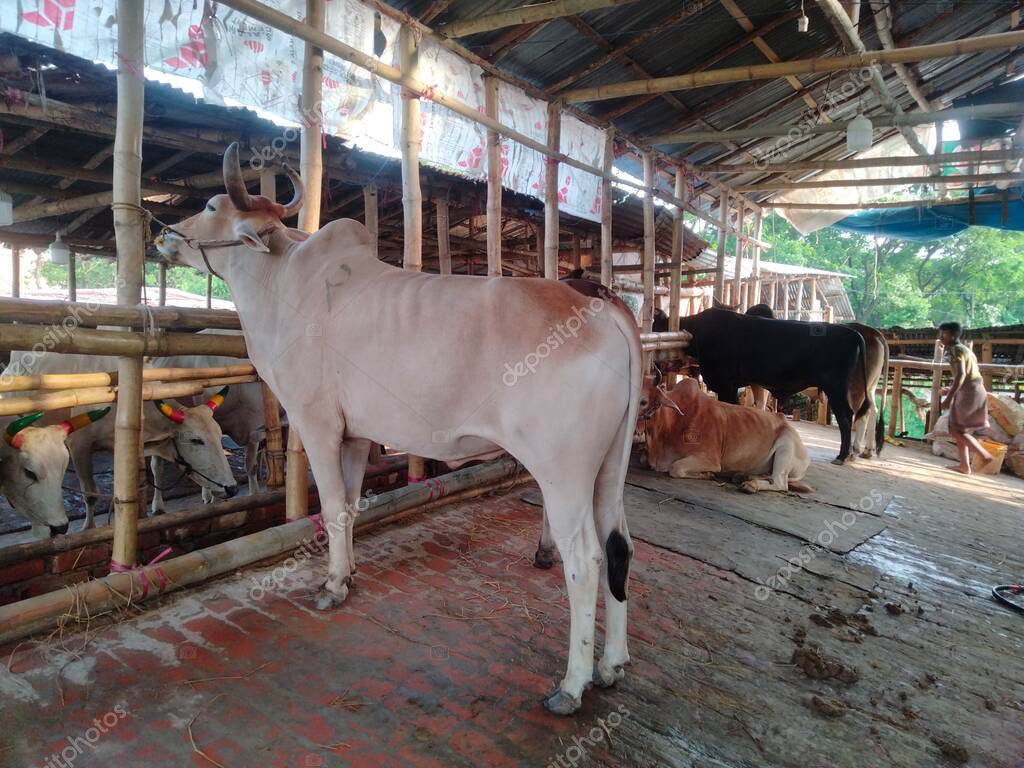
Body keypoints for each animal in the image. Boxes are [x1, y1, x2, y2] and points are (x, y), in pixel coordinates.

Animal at [5, 351, 239, 529]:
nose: (233, 488)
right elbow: (90, 494)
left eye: (220, 436)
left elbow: (155, 471)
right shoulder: (79, 446)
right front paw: (88, 528)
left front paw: (158, 507)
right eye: (196, 440)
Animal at [152, 144, 641, 715]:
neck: (281, 282)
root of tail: (603, 308)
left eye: (211, 206)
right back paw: (612, 664)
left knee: (586, 559)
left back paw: (572, 683)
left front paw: (332, 584)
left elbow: (331, 507)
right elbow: (350, 506)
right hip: (608, 468)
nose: (163, 233)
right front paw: (348, 573)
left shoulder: (317, 424)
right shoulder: (357, 434)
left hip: (563, 472)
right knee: (619, 544)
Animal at [643, 376, 813, 493]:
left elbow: (675, 468)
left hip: (786, 445)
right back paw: (743, 476)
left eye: (643, 401)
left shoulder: (709, 458)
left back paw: (751, 485)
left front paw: (707, 474)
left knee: (780, 483)